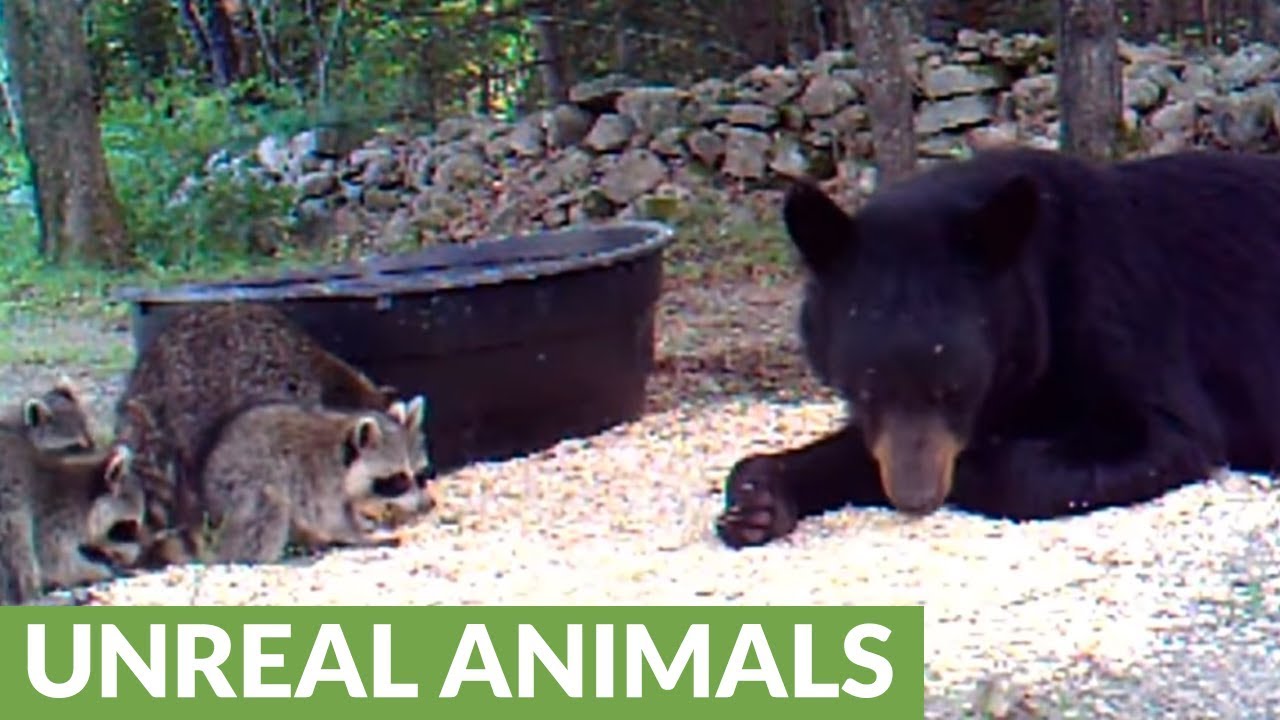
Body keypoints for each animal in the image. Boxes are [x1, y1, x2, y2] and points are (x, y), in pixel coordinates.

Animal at [0, 436, 146, 605]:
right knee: (18, 540)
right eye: (125, 527)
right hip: (9, 503)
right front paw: (100, 571)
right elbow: (55, 562)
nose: (132, 559)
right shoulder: (53, 517)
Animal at [180, 396, 429, 566]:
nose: (426, 506)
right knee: (271, 506)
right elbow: (332, 520)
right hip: (239, 488)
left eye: (419, 475)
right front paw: (365, 537)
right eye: (398, 479)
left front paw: (364, 523)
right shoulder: (319, 478)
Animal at [716, 147, 1280, 549]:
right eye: (864, 388)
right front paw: (758, 500)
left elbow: (1168, 434)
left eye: (955, 389)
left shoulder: (1120, 310)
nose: (915, 495)